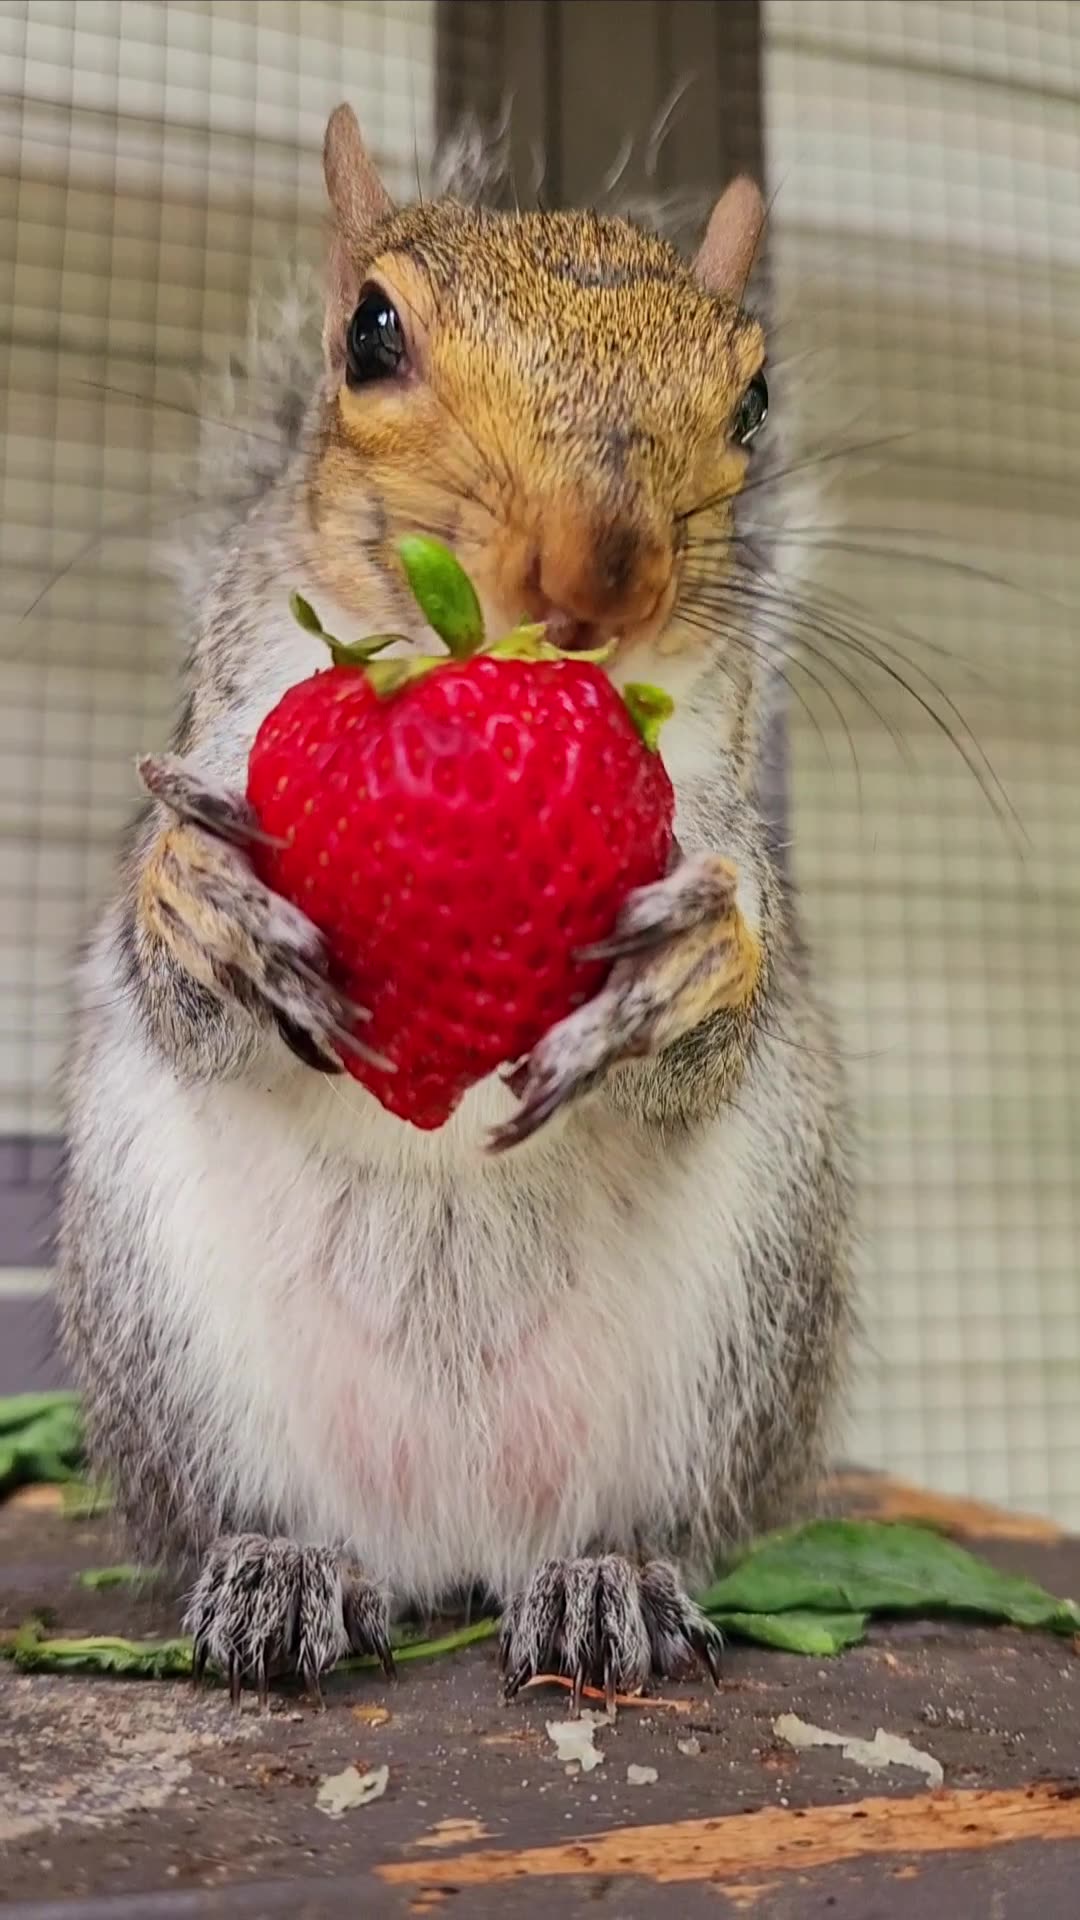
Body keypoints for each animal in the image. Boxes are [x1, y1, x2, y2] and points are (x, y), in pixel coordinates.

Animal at [57, 104, 854, 1707]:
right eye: (370, 332)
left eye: (752, 398)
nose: (600, 567)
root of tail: (454, 1545)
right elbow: (177, 970)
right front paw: (200, 904)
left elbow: (727, 989)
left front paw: (700, 963)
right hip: (170, 1331)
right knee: (271, 1519)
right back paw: (284, 1573)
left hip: (735, 1340)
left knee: (640, 1523)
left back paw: (605, 1583)